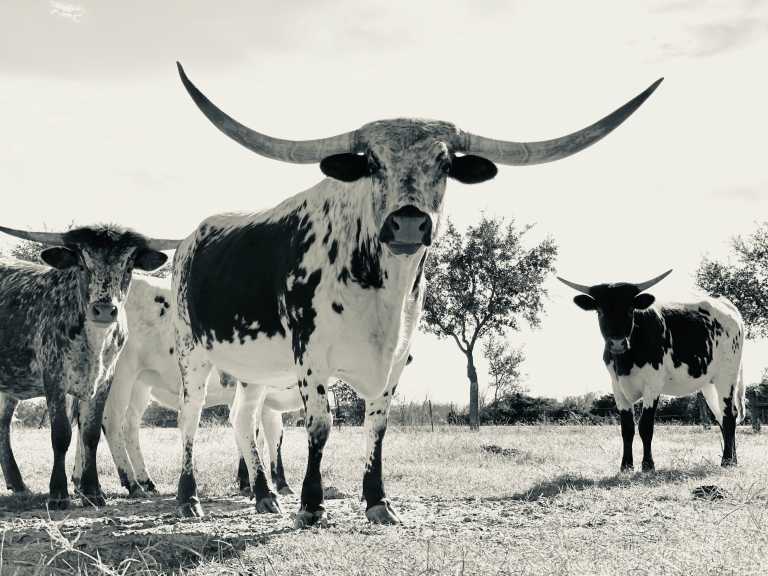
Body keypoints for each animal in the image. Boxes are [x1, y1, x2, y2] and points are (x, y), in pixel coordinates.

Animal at [0, 225, 177, 508]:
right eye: (82, 264)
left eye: (128, 266)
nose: (104, 310)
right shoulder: (55, 377)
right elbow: (61, 434)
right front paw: (58, 493)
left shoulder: (104, 381)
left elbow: (91, 434)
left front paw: (93, 490)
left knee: (3, 422)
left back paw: (17, 483)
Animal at [70, 277, 301, 497]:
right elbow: (257, 432)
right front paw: (255, 483)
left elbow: (271, 436)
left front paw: (273, 482)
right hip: (121, 374)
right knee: (110, 422)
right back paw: (131, 483)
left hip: (139, 383)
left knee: (116, 423)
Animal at [171, 62, 662, 525]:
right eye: (371, 162)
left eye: (445, 164)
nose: (408, 222)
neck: (379, 288)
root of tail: (190, 238)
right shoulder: (311, 357)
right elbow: (320, 427)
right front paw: (311, 506)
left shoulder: (396, 358)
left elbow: (377, 428)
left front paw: (378, 502)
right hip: (192, 354)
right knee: (189, 418)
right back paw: (188, 498)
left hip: (253, 369)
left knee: (243, 421)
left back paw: (263, 496)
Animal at [558, 270, 745, 471]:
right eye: (600, 311)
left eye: (630, 310)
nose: (617, 343)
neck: (626, 360)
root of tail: (728, 306)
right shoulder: (617, 387)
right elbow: (627, 428)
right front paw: (626, 465)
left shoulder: (653, 384)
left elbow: (645, 426)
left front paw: (648, 464)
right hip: (708, 383)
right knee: (721, 416)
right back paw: (734, 459)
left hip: (726, 376)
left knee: (729, 415)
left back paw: (727, 460)